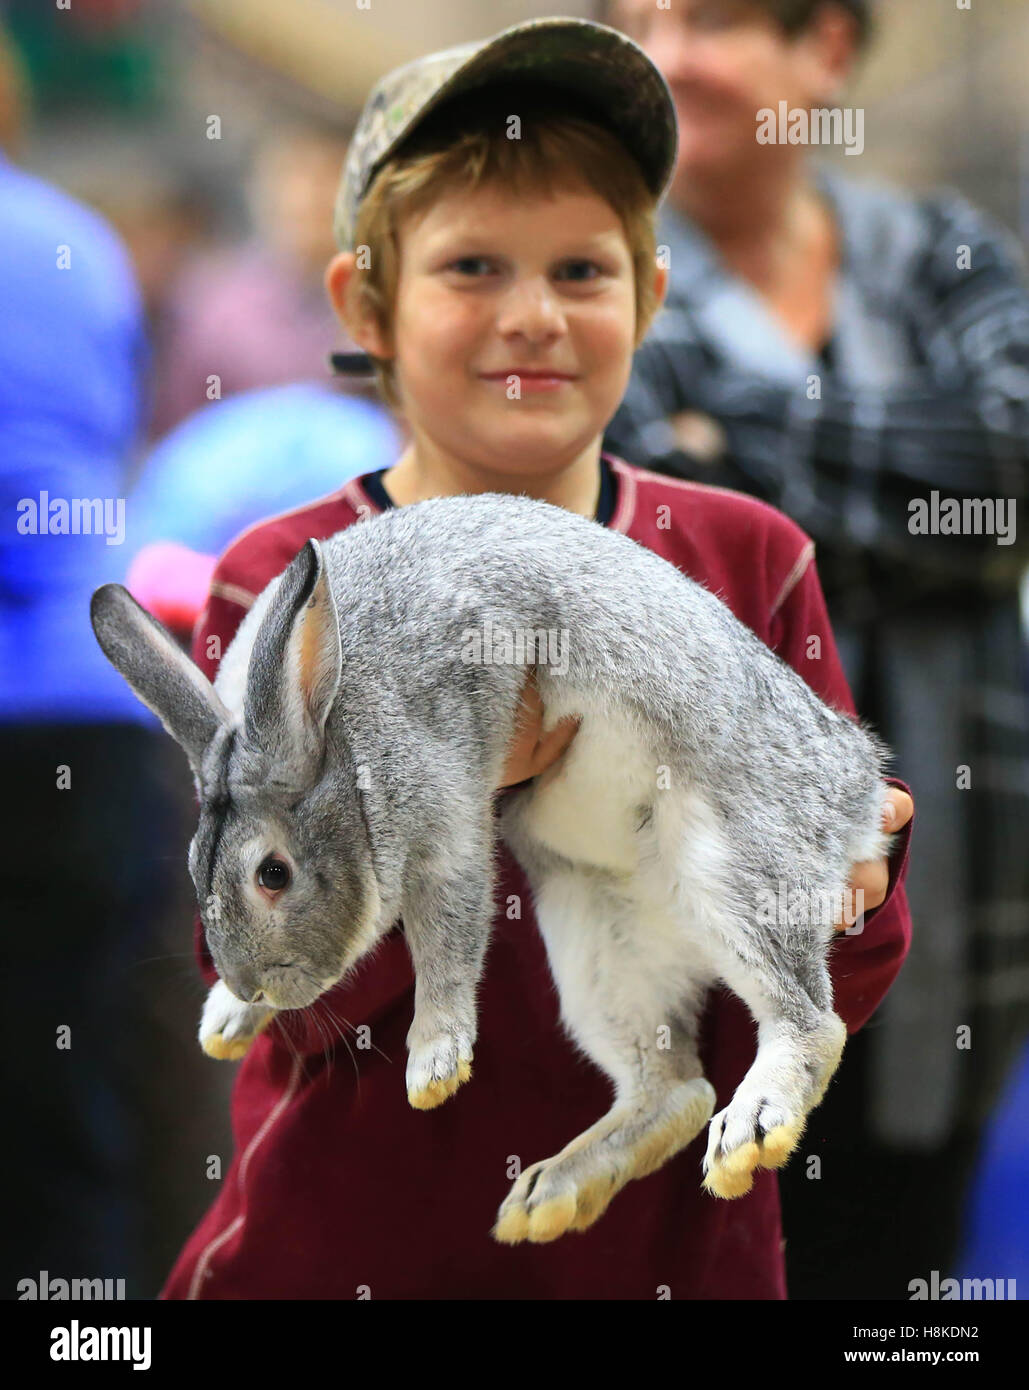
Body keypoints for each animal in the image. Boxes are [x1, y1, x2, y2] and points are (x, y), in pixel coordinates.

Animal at [90, 490, 894, 1243]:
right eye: (196, 869)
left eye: (273, 875)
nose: (249, 983)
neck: (338, 749)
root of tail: (859, 785)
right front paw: (225, 1021)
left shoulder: (449, 829)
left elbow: (447, 942)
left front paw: (433, 1066)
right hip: (597, 944)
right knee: (674, 1091)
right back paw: (550, 1196)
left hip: (735, 871)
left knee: (812, 1023)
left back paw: (746, 1133)